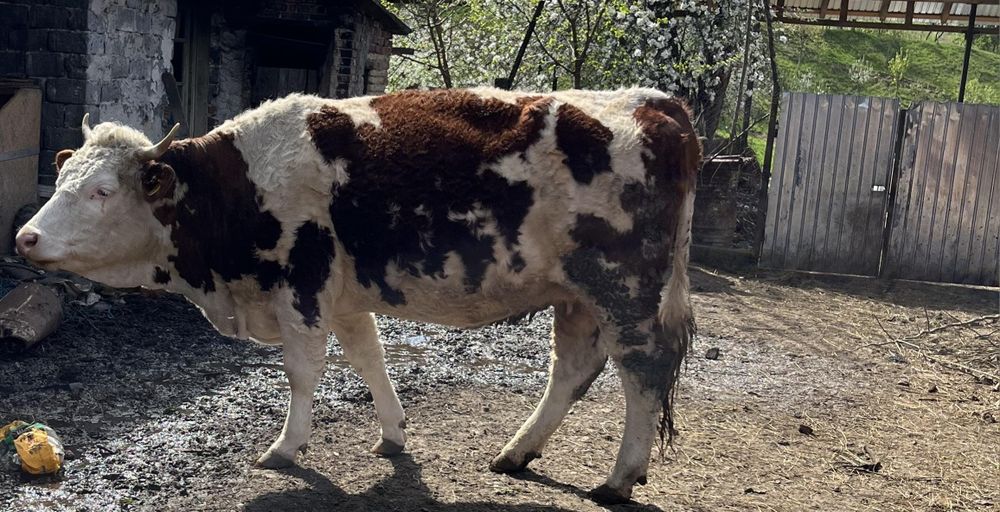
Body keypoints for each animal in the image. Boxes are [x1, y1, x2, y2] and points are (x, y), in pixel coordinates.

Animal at [15, 87, 699, 504]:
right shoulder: (344, 299)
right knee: (574, 367)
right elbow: (369, 359)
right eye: (62, 174)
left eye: (102, 191)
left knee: (643, 371)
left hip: (624, 288)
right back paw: (516, 453)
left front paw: (286, 448)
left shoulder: (302, 287)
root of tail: (654, 101)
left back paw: (618, 478)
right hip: (577, 294)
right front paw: (393, 435)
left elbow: (302, 373)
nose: (25, 236)